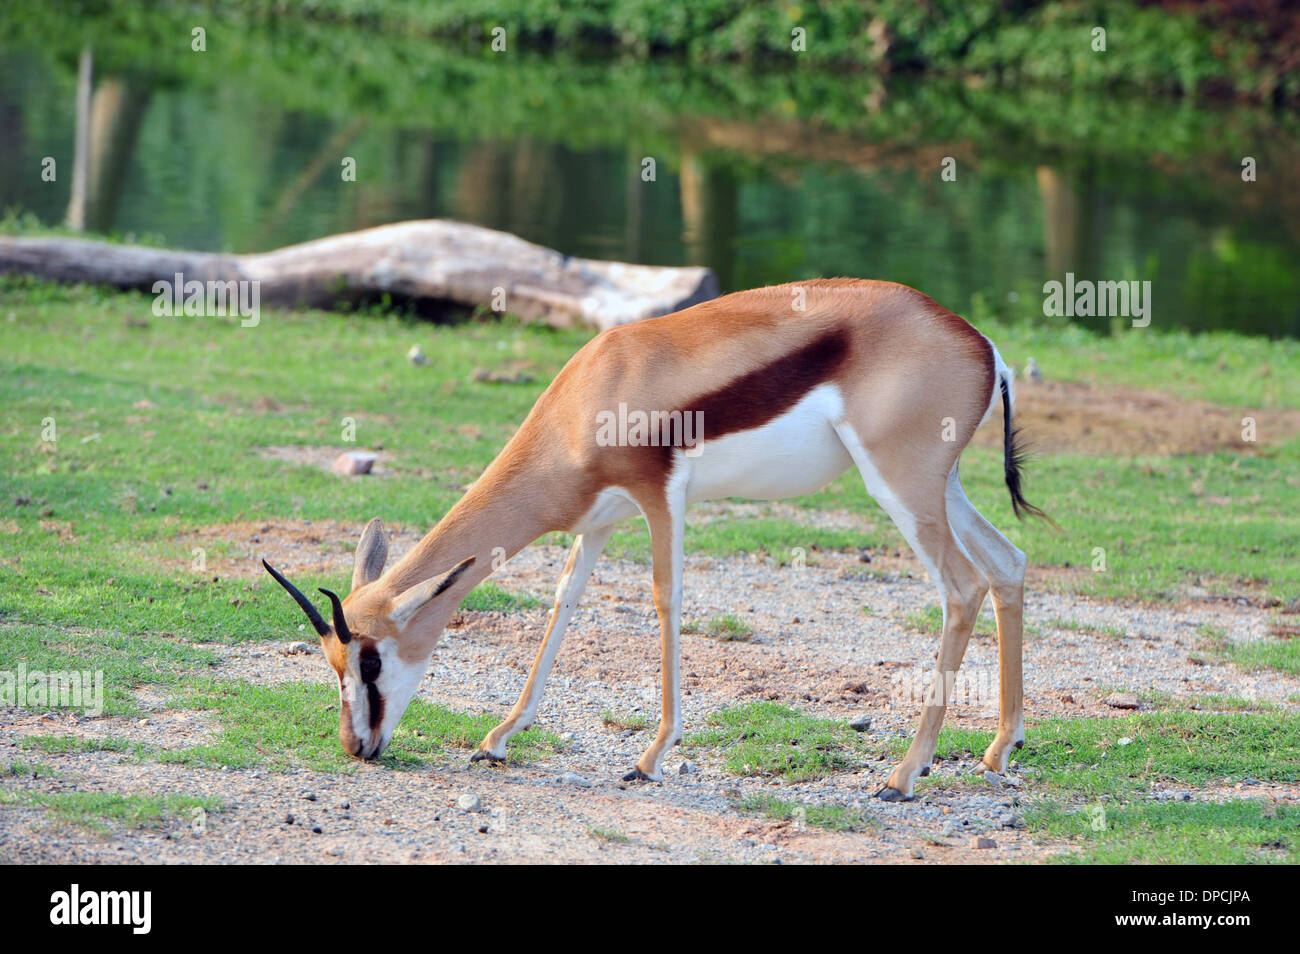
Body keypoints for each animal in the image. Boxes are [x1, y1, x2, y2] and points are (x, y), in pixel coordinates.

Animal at [263, 279, 1050, 800]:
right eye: (331, 663)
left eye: (368, 662)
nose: (357, 747)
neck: (592, 392)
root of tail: (983, 346)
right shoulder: (601, 520)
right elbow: (565, 602)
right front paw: (497, 741)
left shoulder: (658, 495)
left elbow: (666, 599)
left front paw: (648, 758)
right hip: (940, 487)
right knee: (1008, 563)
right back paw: (998, 750)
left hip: (899, 484)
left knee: (961, 586)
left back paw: (904, 775)